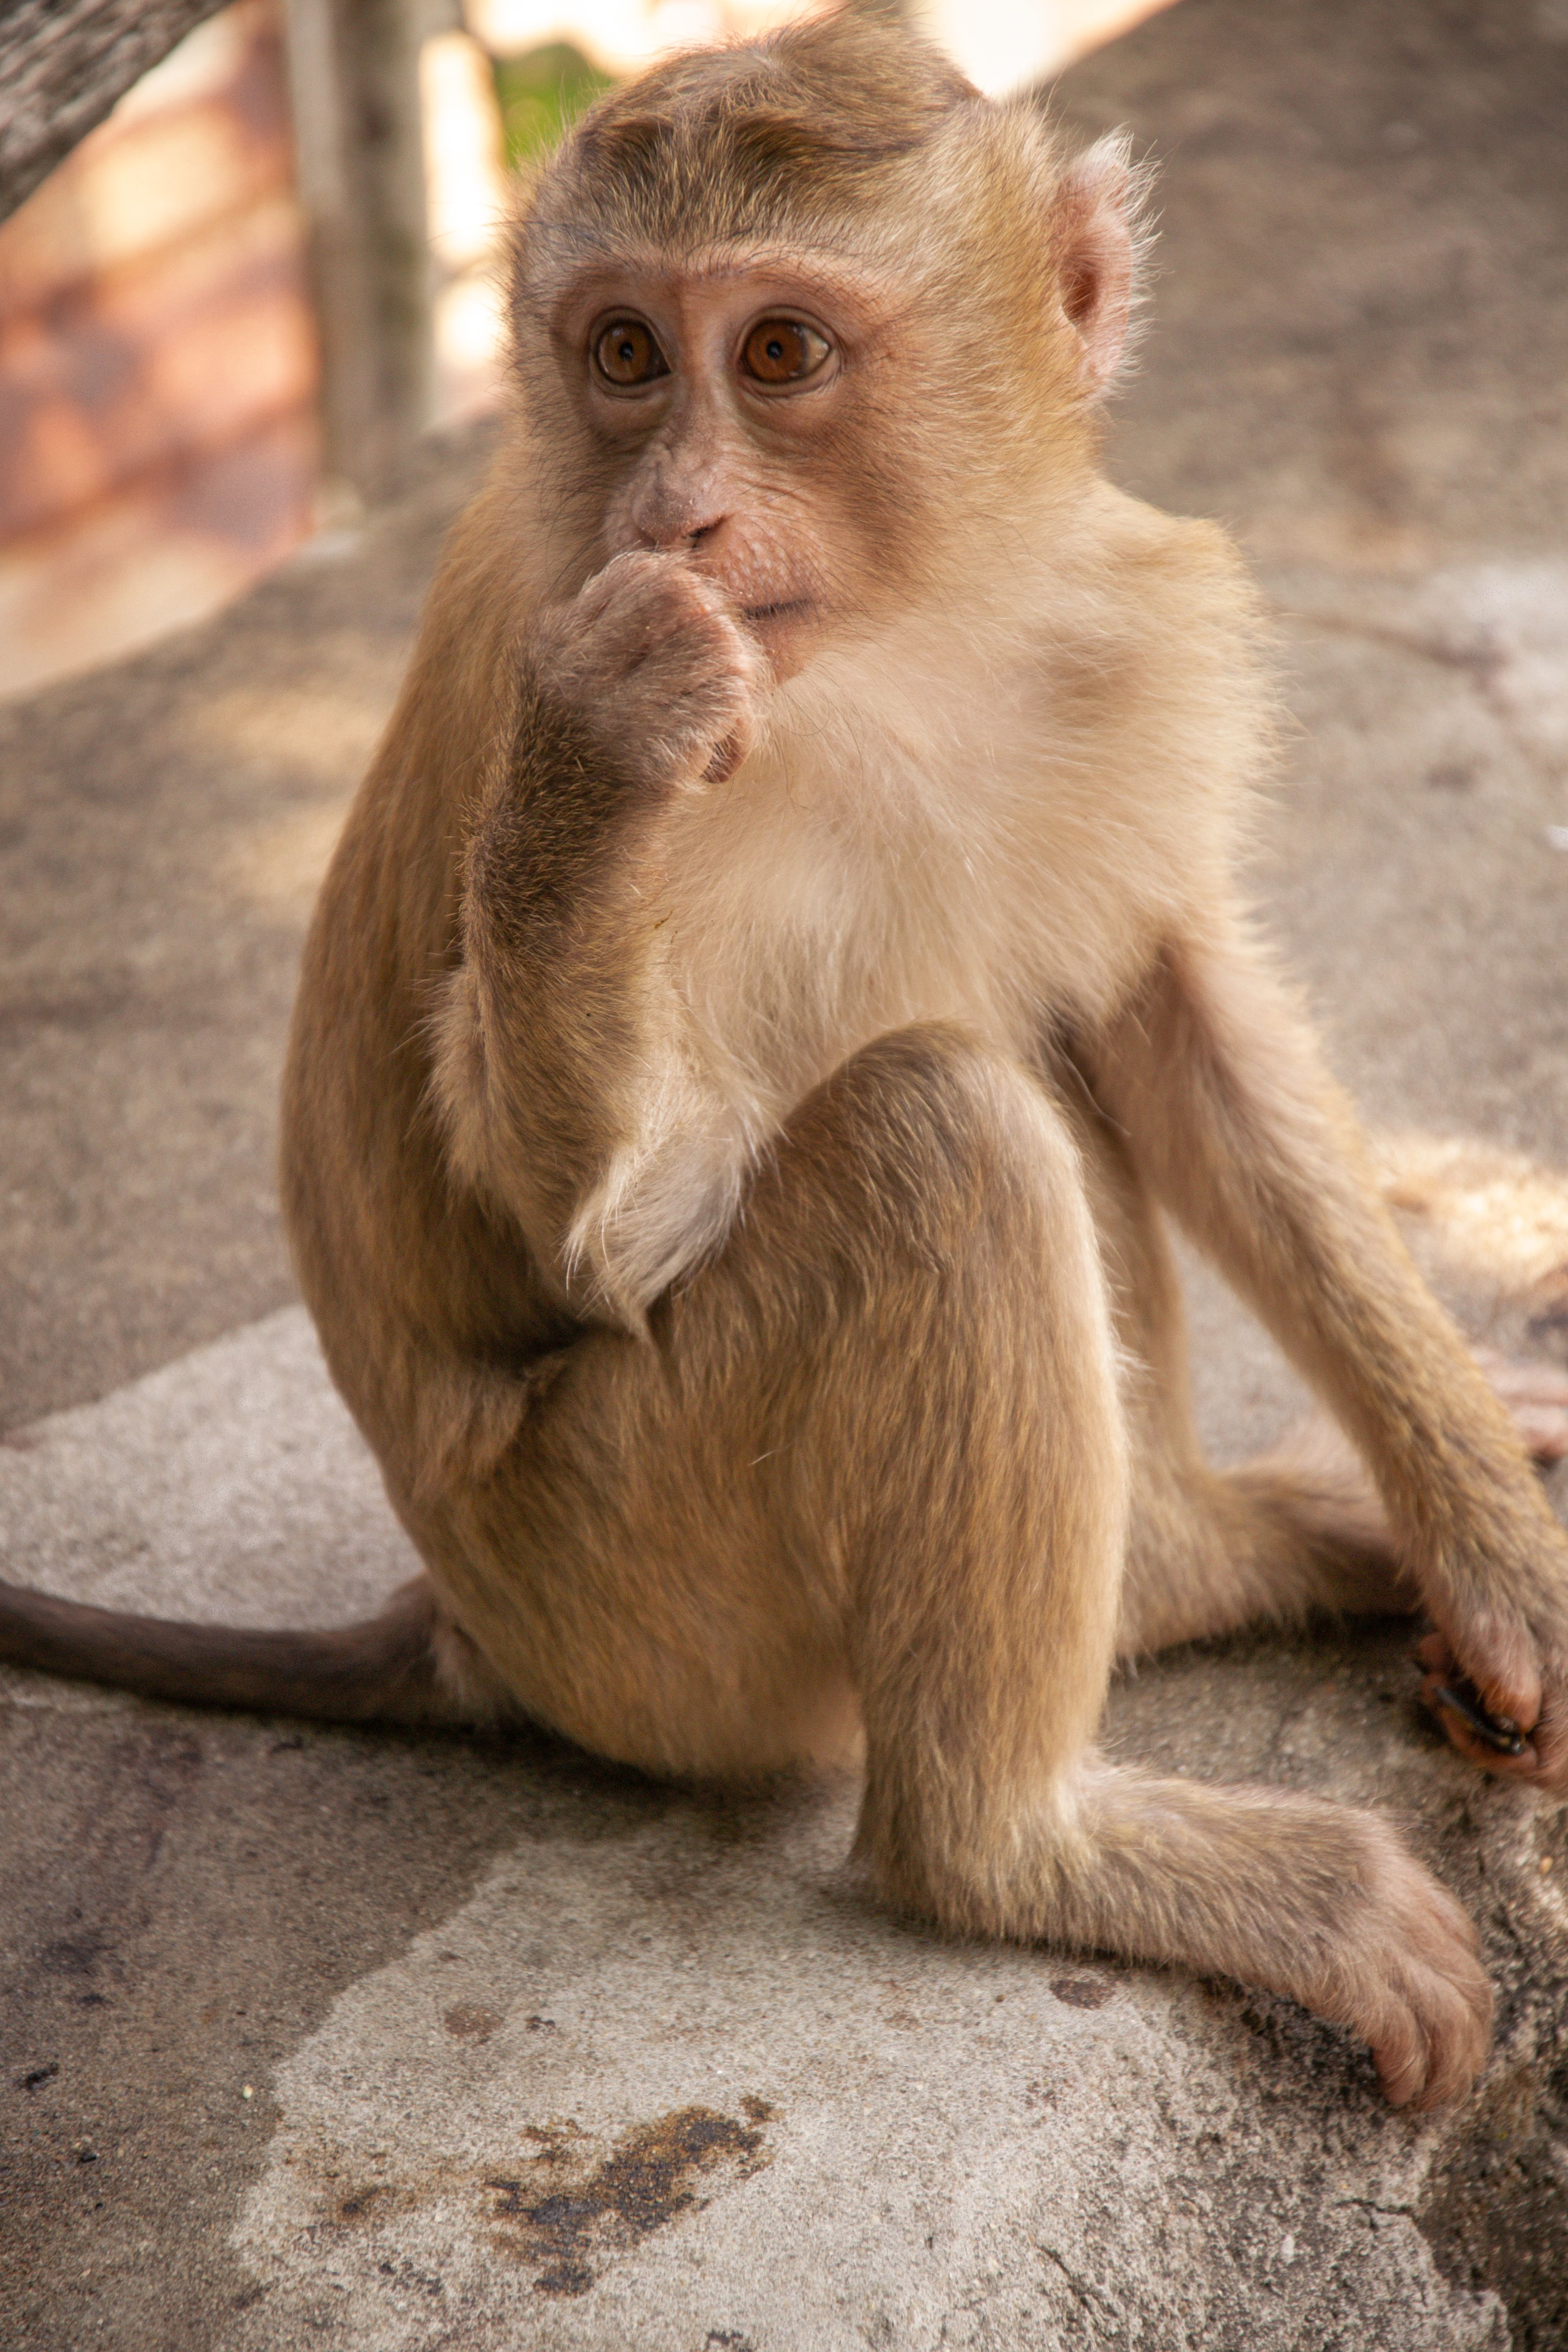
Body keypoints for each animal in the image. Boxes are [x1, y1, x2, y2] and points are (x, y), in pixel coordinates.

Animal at [6, 11, 1568, 2115]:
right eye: (620, 354)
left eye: (774, 355)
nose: (675, 517)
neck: (898, 644)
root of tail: (469, 1625)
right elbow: (622, 1237)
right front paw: (591, 758)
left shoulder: (1114, 621)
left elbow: (1169, 1008)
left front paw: (1492, 1552)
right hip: (633, 1596)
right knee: (942, 1128)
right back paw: (1018, 1849)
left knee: (1025, 1052)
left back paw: (1211, 1554)